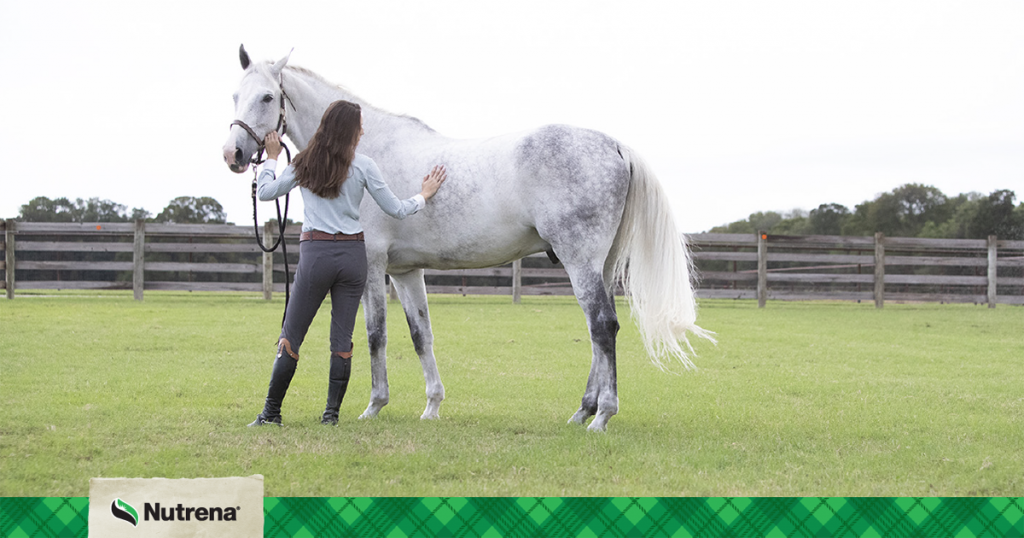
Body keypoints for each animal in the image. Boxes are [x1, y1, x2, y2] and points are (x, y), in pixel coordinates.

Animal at [222, 46, 714, 431]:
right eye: (234, 95)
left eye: (267, 96)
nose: (234, 154)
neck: (362, 148)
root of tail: (614, 145)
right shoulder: (405, 271)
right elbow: (421, 335)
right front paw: (431, 407)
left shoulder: (372, 265)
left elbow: (376, 334)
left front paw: (374, 406)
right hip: (601, 264)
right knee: (598, 330)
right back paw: (582, 411)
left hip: (579, 259)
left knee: (602, 325)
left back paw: (602, 416)